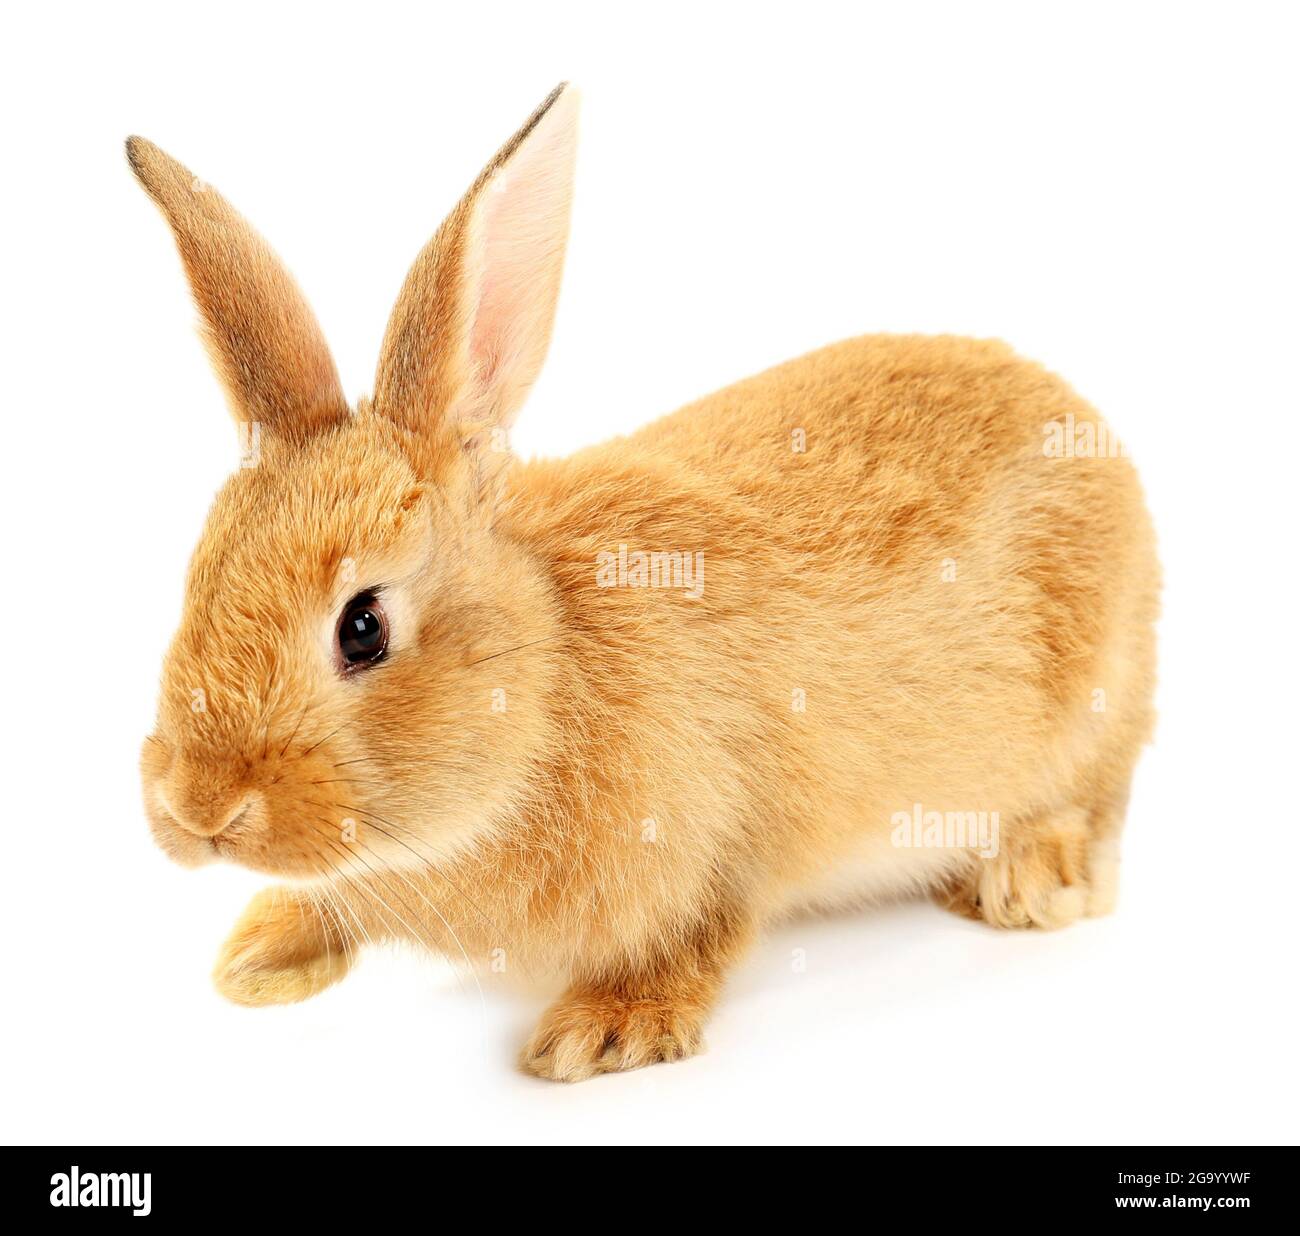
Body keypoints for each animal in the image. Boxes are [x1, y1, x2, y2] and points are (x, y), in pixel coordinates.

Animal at [132, 83, 1159, 1082]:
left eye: (363, 627)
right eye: (196, 577)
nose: (197, 809)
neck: (544, 675)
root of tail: (1087, 429)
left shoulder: (719, 848)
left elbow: (694, 939)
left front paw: (601, 1034)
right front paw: (257, 958)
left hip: (1095, 705)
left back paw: (1031, 879)